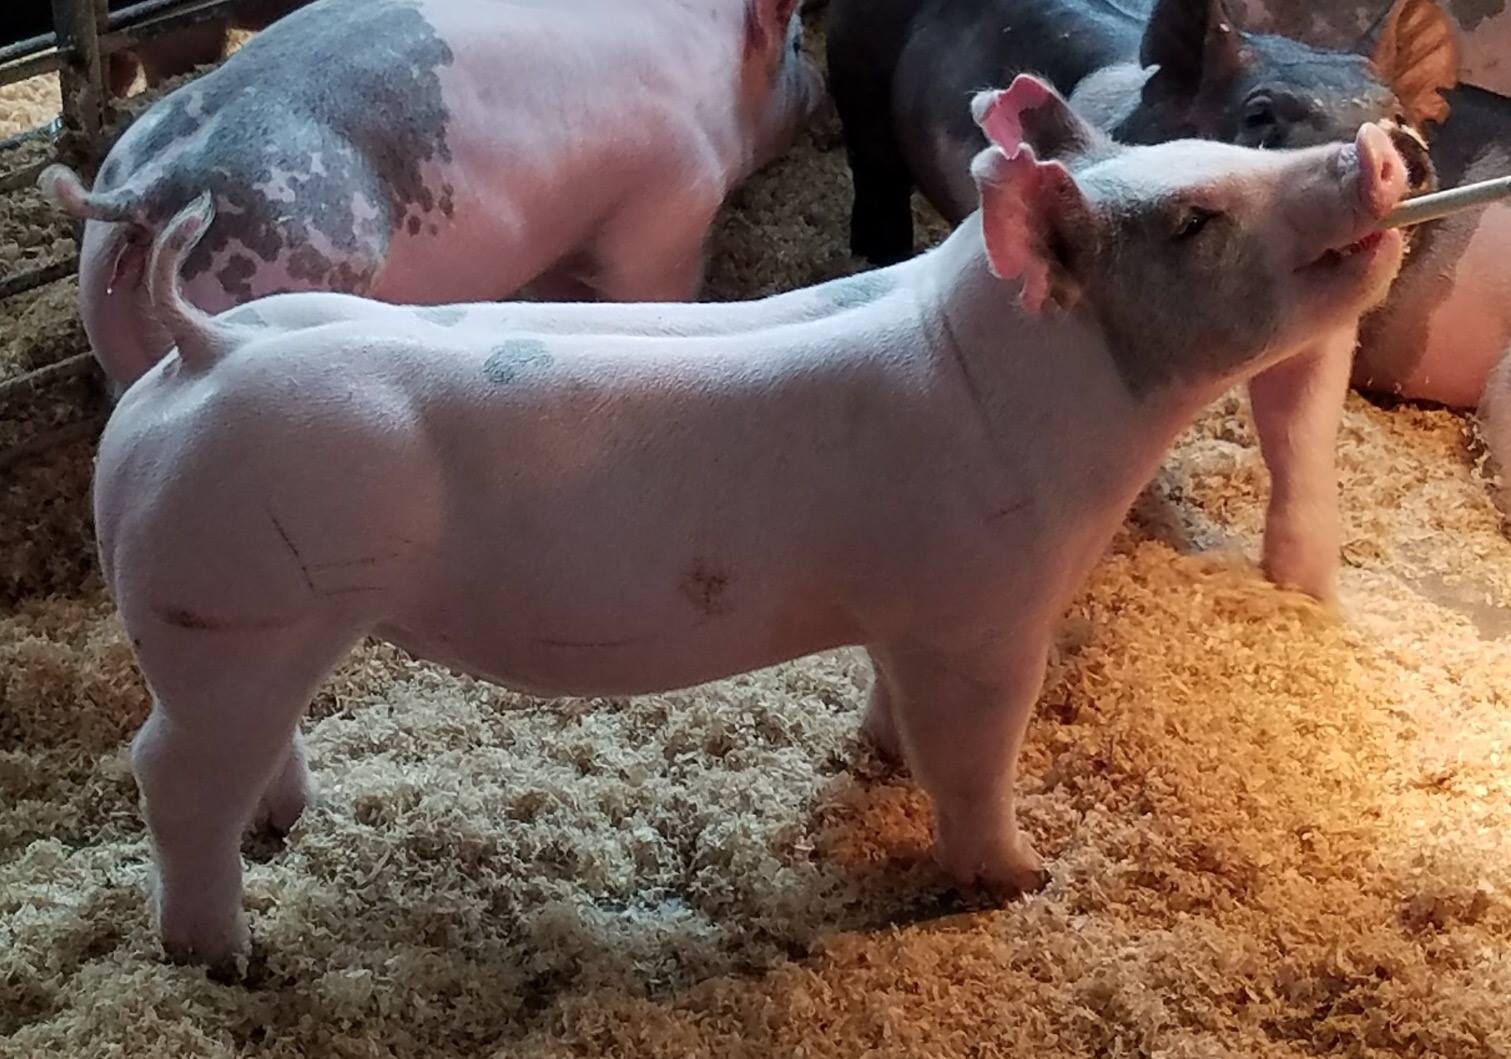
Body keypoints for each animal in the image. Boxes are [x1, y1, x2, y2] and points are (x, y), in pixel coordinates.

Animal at [39, 0, 821, 387]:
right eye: (796, 45)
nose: (819, 91)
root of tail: (151, 189)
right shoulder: (670, 197)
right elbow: (649, 290)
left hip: (110, 325)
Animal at [95, 75, 1410, 969]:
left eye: (1216, 151)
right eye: (1191, 219)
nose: (1378, 151)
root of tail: (201, 351)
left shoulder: (907, 617)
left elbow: (893, 711)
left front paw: (878, 762)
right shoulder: (979, 615)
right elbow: (974, 754)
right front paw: (1018, 878)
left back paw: (285, 823)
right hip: (228, 614)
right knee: (167, 770)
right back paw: (224, 957)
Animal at [825, 0, 1455, 602]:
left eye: (1401, 114)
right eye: (1260, 115)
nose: (1396, 145)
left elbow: (1300, 433)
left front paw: (1309, 594)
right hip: (856, 77)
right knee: (874, 172)